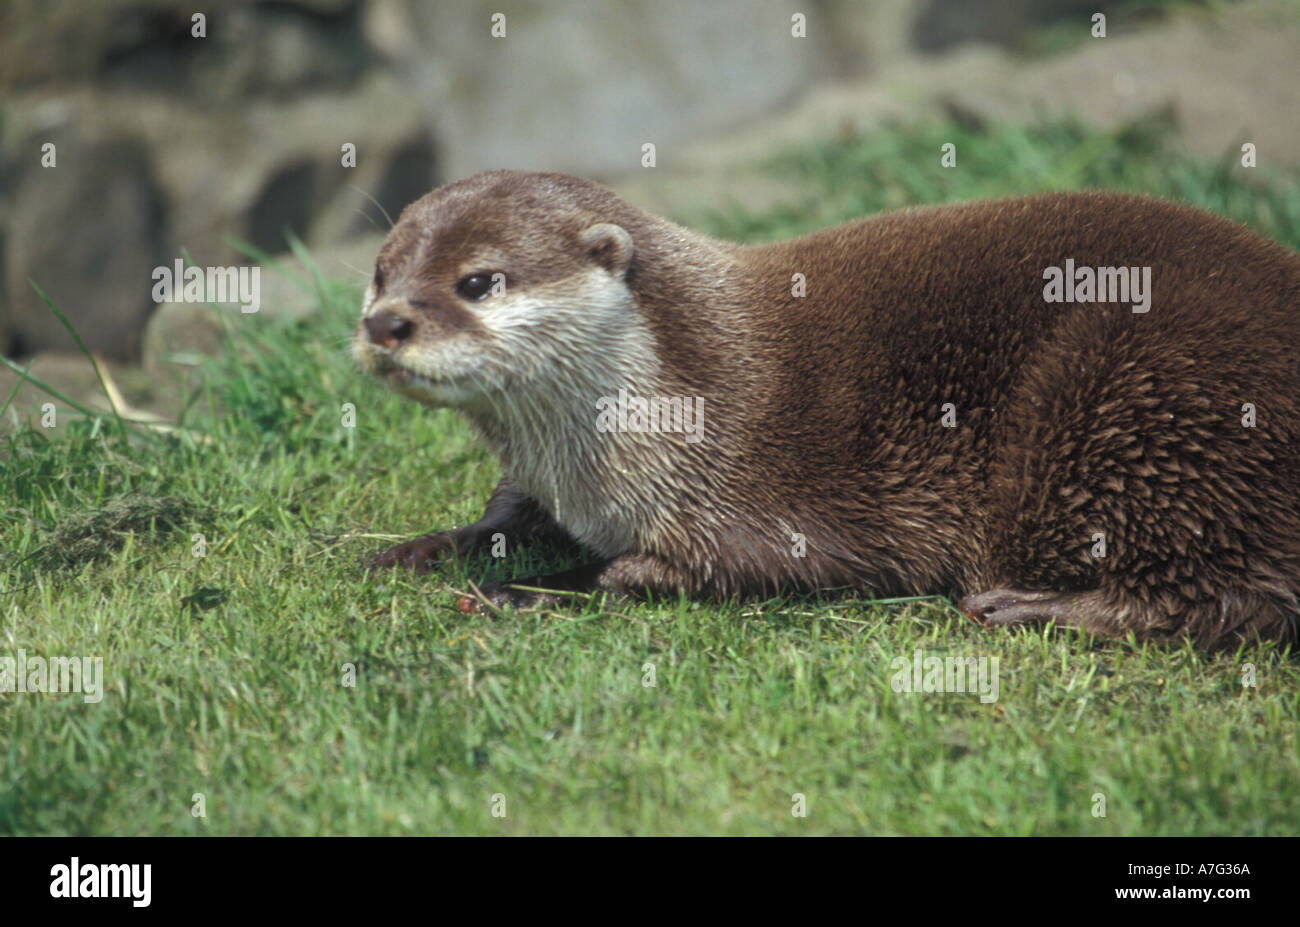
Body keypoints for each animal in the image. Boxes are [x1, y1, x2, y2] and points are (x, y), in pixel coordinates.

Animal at [354, 170, 1300, 649]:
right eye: (379, 270)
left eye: (479, 281)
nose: (384, 321)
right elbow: (504, 514)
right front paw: (417, 548)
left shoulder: (752, 492)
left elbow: (658, 573)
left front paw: (528, 586)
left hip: (1139, 405)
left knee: (1236, 598)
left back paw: (1025, 606)